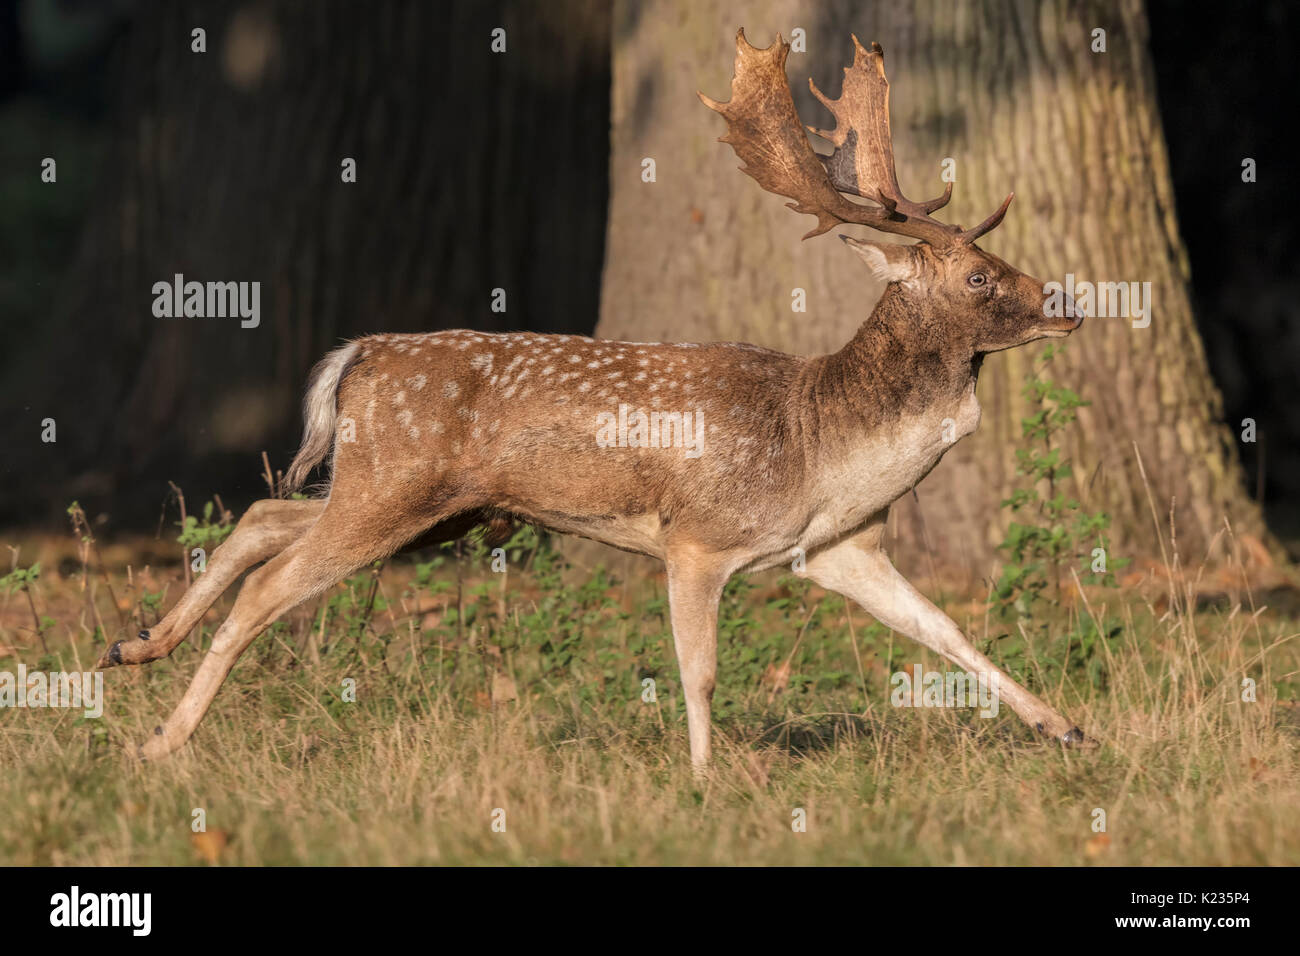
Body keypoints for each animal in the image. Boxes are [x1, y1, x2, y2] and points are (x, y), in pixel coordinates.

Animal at [99, 30, 1086, 769]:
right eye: (976, 274)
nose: (1065, 302)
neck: (819, 448)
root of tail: (361, 355)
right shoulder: (697, 538)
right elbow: (699, 671)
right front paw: (705, 780)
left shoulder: (840, 548)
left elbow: (947, 632)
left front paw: (1066, 726)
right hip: (394, 487)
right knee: (271, 583)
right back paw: (159, 742)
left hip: (428, 505)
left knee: (264, 513)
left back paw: (135, 645)